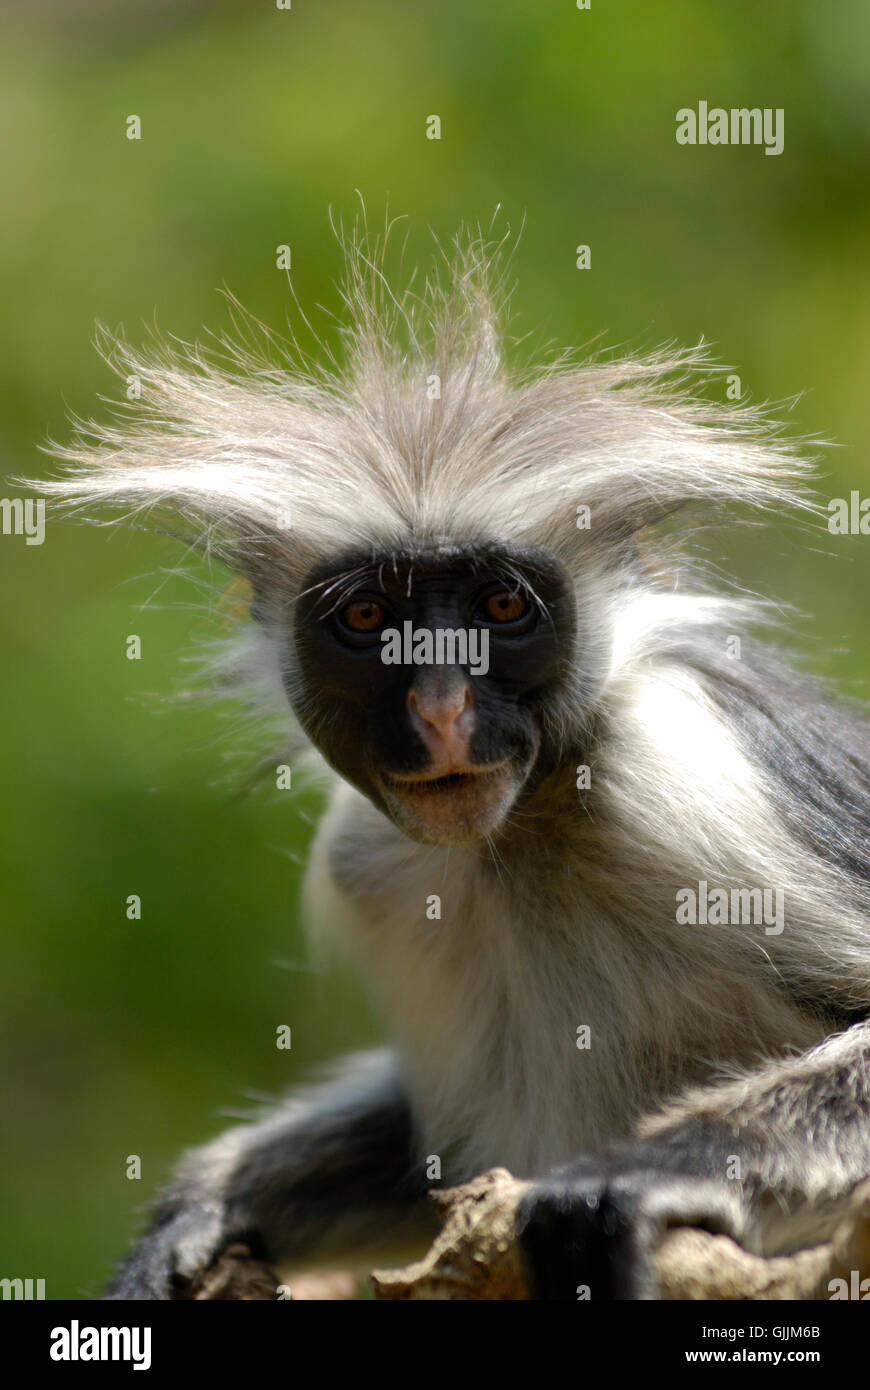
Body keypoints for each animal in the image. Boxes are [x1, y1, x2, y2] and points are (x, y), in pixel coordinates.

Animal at [39, 224, 870, 1301]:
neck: (527, 827)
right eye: (366, 618)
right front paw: (204, 1199)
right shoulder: (367, 864)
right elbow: (424, 1156)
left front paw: (650, 1171)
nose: (440, 713)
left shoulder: (682, 768)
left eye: (502, 606)